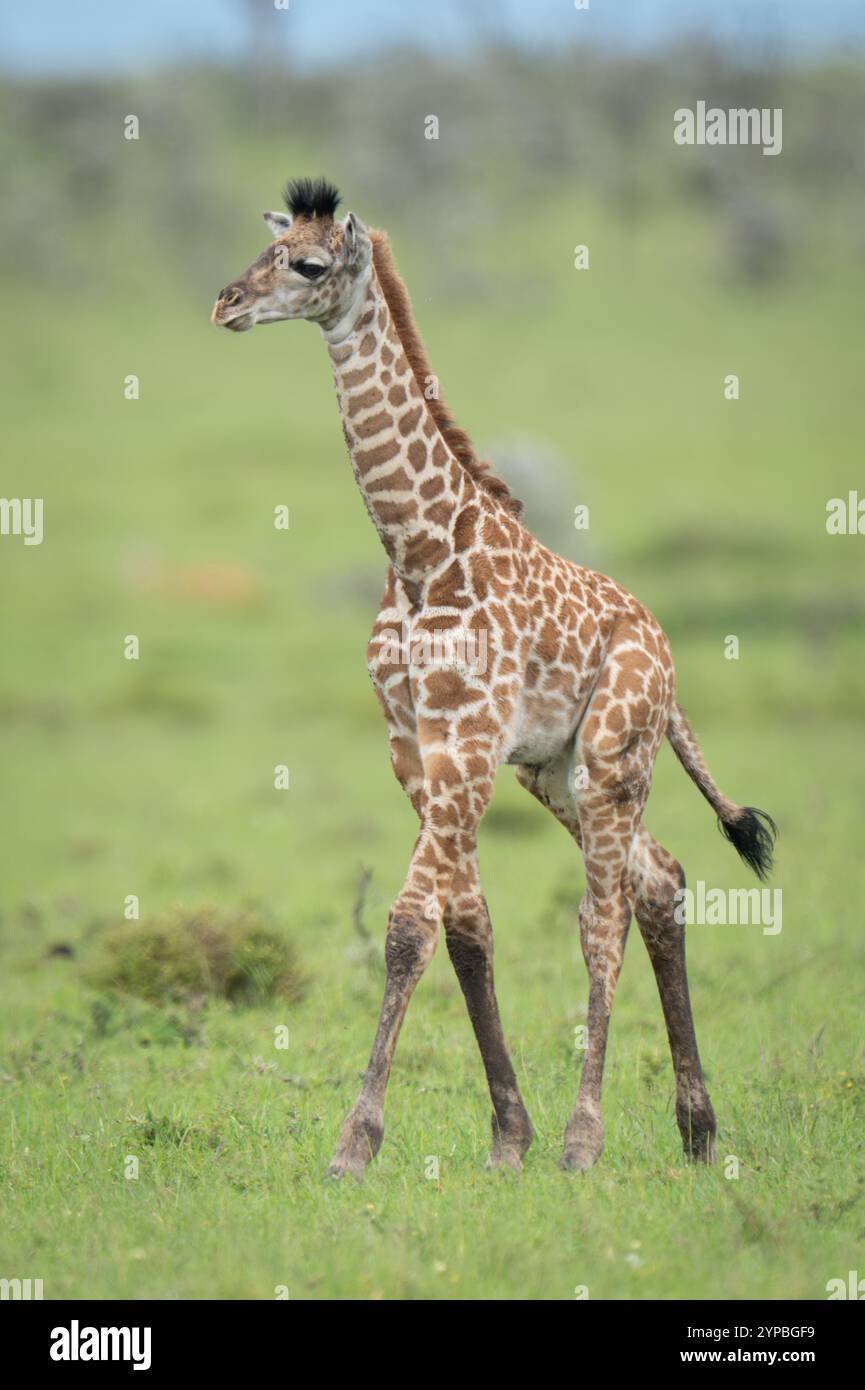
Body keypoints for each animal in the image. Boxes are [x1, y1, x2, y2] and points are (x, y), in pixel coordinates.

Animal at [212, 177, 777, 1177]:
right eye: (265, 251)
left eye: (307, 265)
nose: (226, 303)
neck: (417, 550)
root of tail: (668, 661)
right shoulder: (418, 747)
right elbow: (465, 928)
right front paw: (506, 1136)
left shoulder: (465, 743)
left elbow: (408, 924)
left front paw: (356, 1142)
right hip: (555, 772)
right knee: (661, 879)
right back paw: (697, 1128)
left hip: (612, 761)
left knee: (602, 919)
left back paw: (586, 1138)